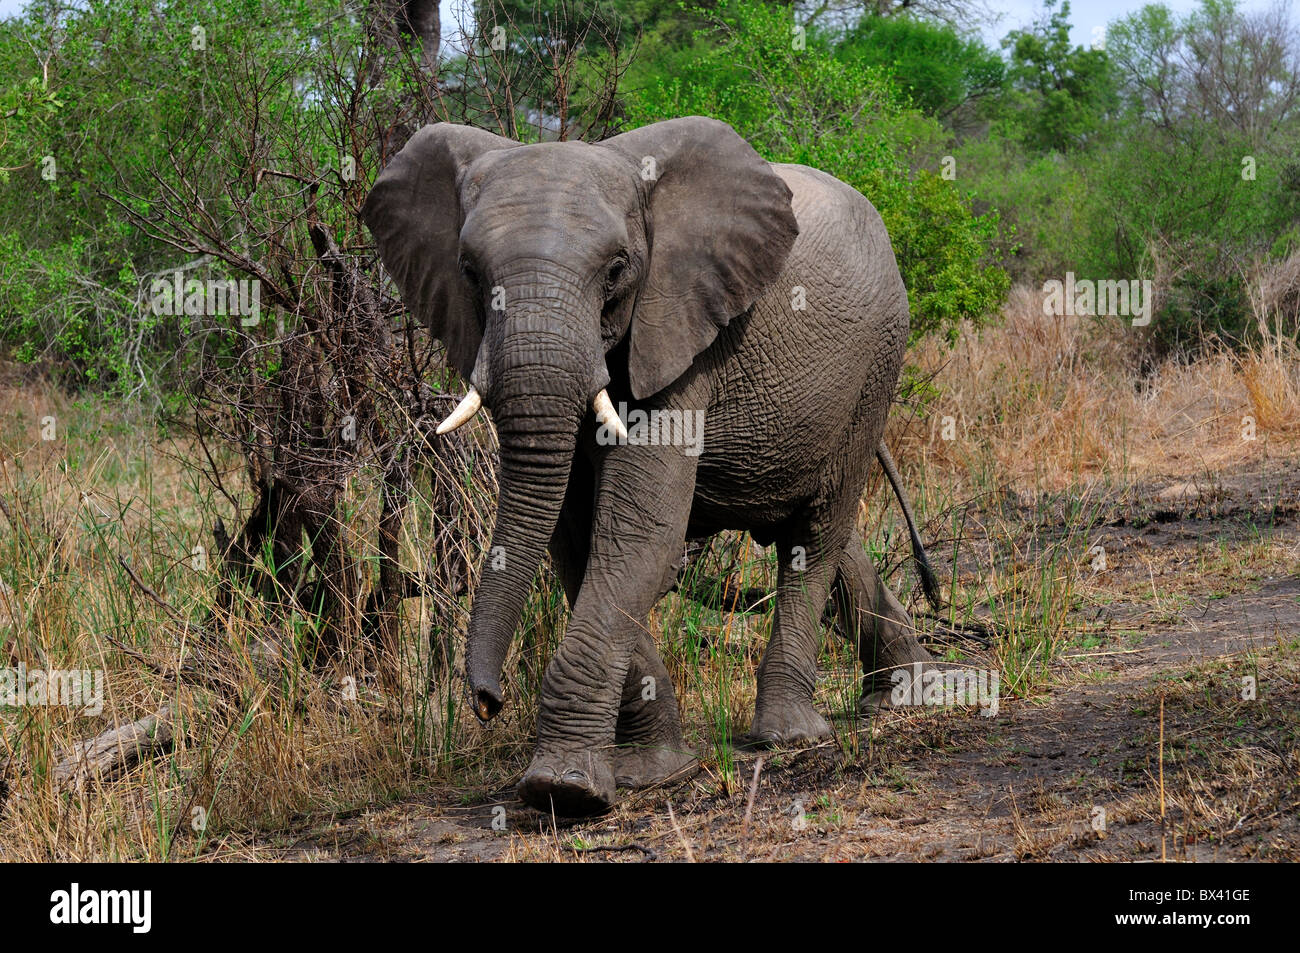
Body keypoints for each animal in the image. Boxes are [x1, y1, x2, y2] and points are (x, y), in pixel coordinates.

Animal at [361, 116, 940, 816]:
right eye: (469, 273)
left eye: (617, 270)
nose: (486, 701)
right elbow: (578, 541)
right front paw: (652, 771)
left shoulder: (680, 332)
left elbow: (638, 539)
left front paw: (564, 790)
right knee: (820, 527)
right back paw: (901, 693)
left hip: (877, 366)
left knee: (817, 528)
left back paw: (789, 736)